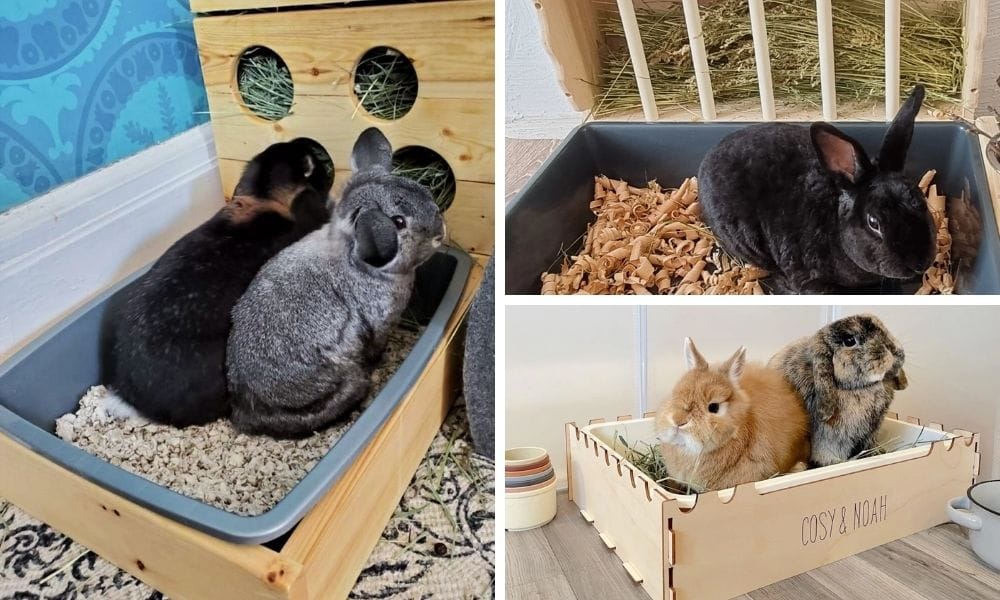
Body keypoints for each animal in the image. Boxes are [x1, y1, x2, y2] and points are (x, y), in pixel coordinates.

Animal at [225, 127, 446, 439]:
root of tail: (247, 412)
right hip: (347, 380)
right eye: (399, 222)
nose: (441, 232)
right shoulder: (380, 325)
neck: (356, 255)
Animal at [768, 314, 906, 467]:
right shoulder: (830, 438)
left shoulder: (871, 432)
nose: (893, 350)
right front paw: (837, 463)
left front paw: (876, 452)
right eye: (849, 340)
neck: (861, 387)